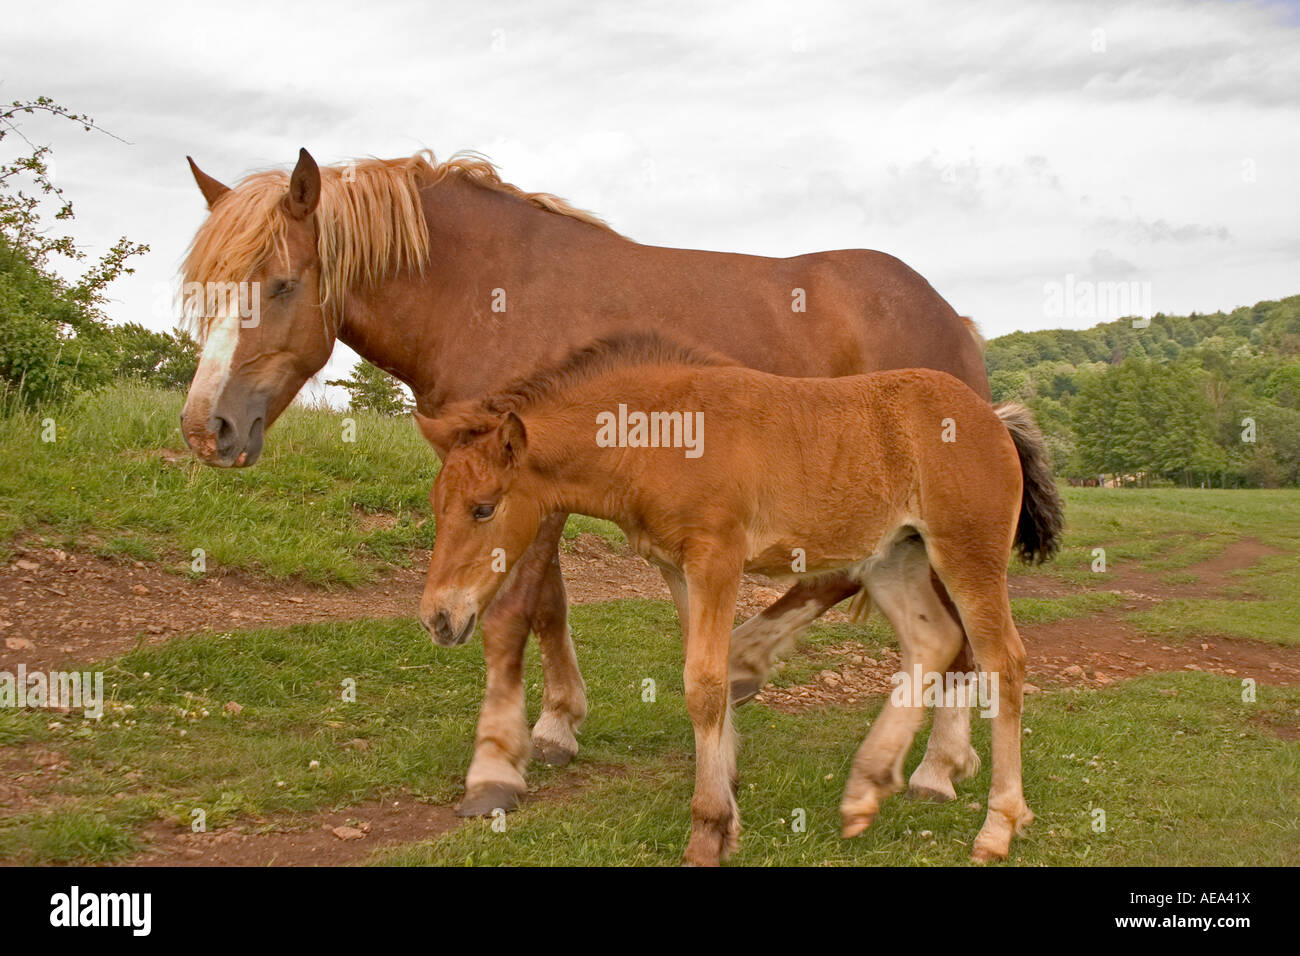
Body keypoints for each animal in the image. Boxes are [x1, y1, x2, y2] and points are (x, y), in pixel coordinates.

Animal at [416, 333, 1054, 865]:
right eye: (437, 505)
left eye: (484, 508)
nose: (438, 618)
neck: (657, 435)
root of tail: (994, 417)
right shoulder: (678, 568)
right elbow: (711, 676)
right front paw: (726, 804)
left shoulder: (716, 558)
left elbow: (703, 685)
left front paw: (707, 830)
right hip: (895, 556)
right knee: (933, 641)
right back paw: (869, 786)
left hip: (967, 556)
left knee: (1003, 661)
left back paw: (996, 827)